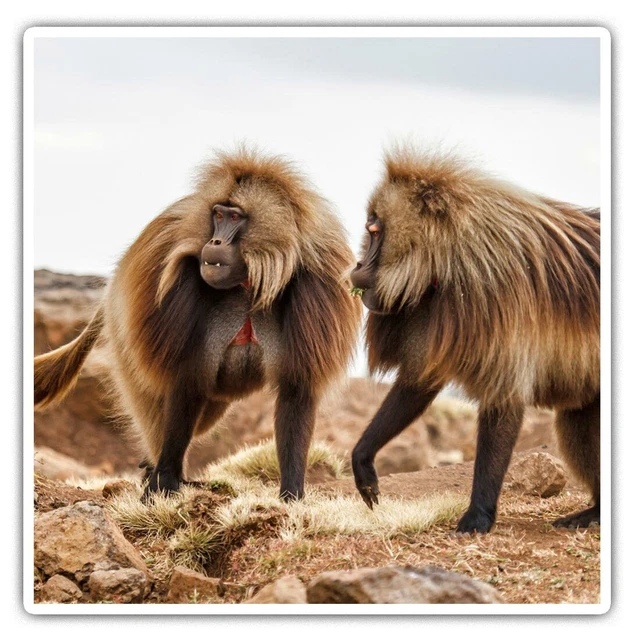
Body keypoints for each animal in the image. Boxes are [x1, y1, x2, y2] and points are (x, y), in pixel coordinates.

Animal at [34, 147, 361, 501]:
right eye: (218, 214)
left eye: (235, 217)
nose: (215, 243)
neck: (251, 281)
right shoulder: (182, 290)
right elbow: (187, 381)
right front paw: (164, 481)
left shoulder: (317, 289)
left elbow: (296, 391)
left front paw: (292, 494)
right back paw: (156, 468)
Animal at [349, 146, 600, 534]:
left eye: (374, 231)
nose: (357, 266)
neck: (452, 258)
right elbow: (417, 385)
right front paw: (363, 461)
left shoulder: (501, 299)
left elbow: (504, 401)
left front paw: (478, 515)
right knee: (579, 424)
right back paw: (596, 511)